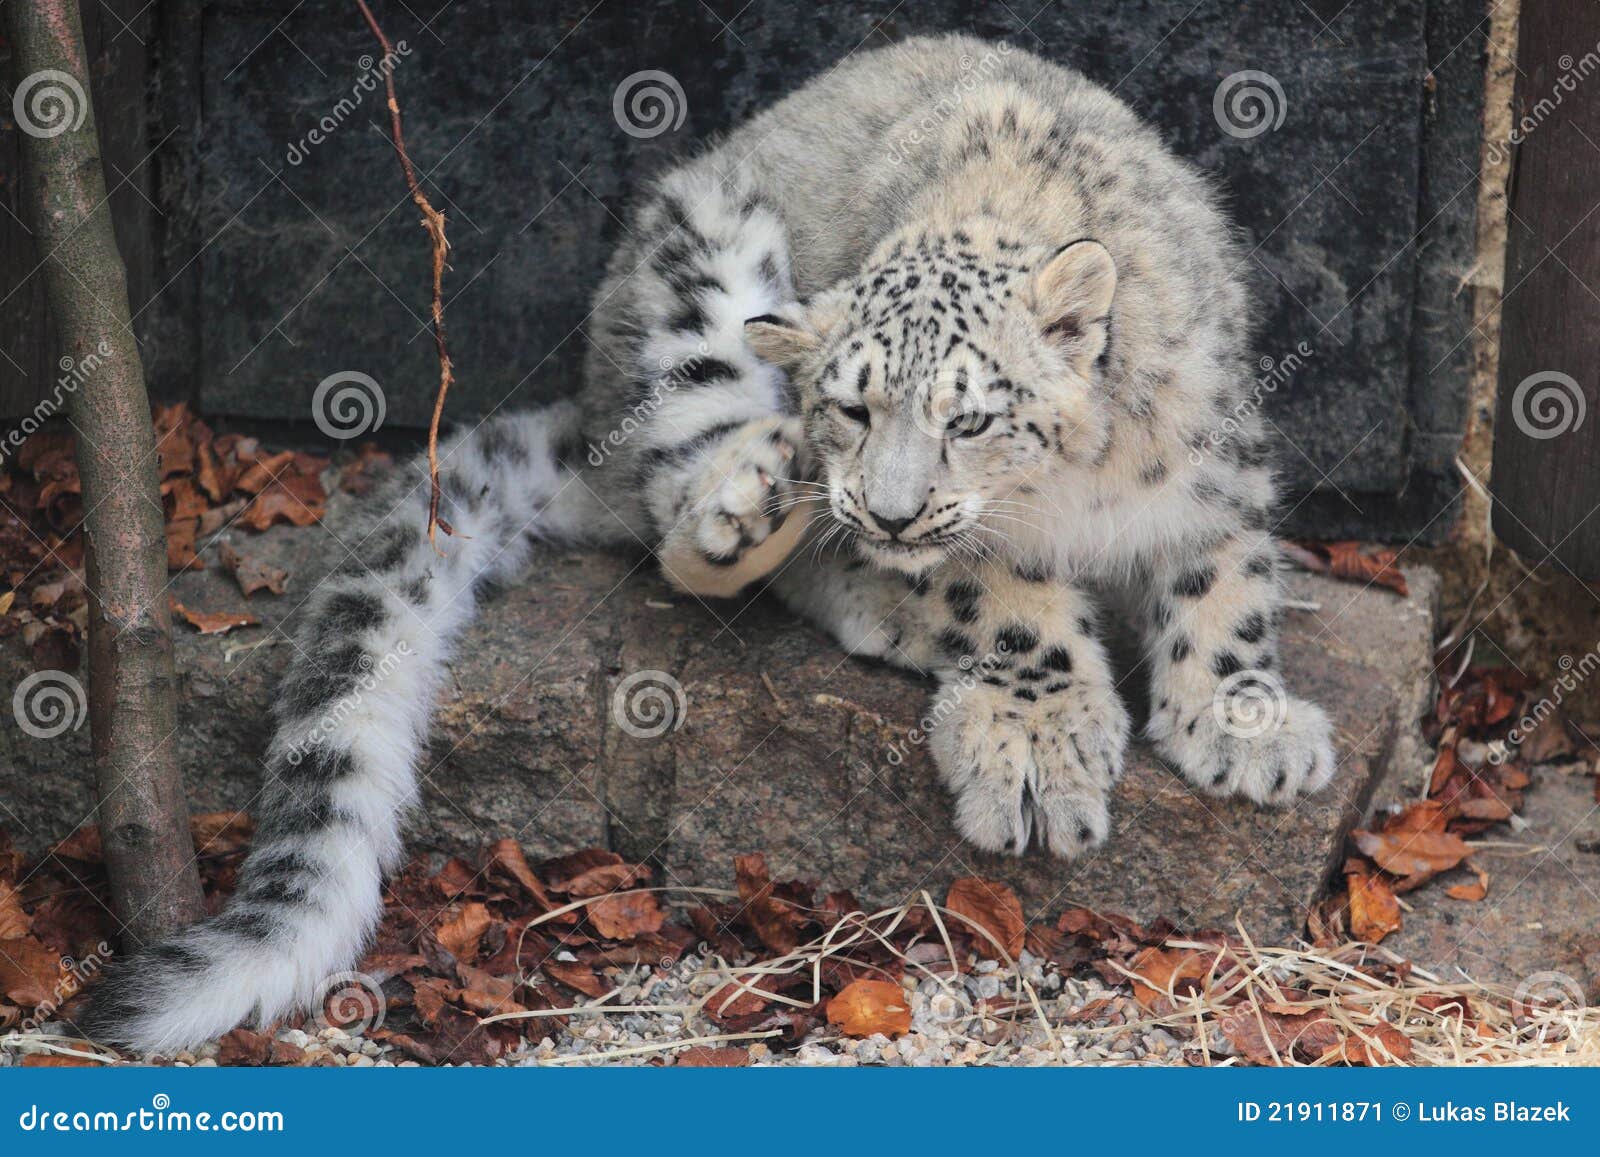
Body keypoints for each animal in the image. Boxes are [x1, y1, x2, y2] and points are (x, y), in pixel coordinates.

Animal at [85, 33, 1334, 1051]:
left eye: (971, 416)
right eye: (851, 408)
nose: (887, 509)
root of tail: (592, 394)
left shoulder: (1218, 461)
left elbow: (1226, 573)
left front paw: (1245, 721)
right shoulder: (953, 537)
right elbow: (1000, 593)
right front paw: (1039, 741)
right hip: (699, 275)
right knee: (688, 507)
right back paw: (767, 512)